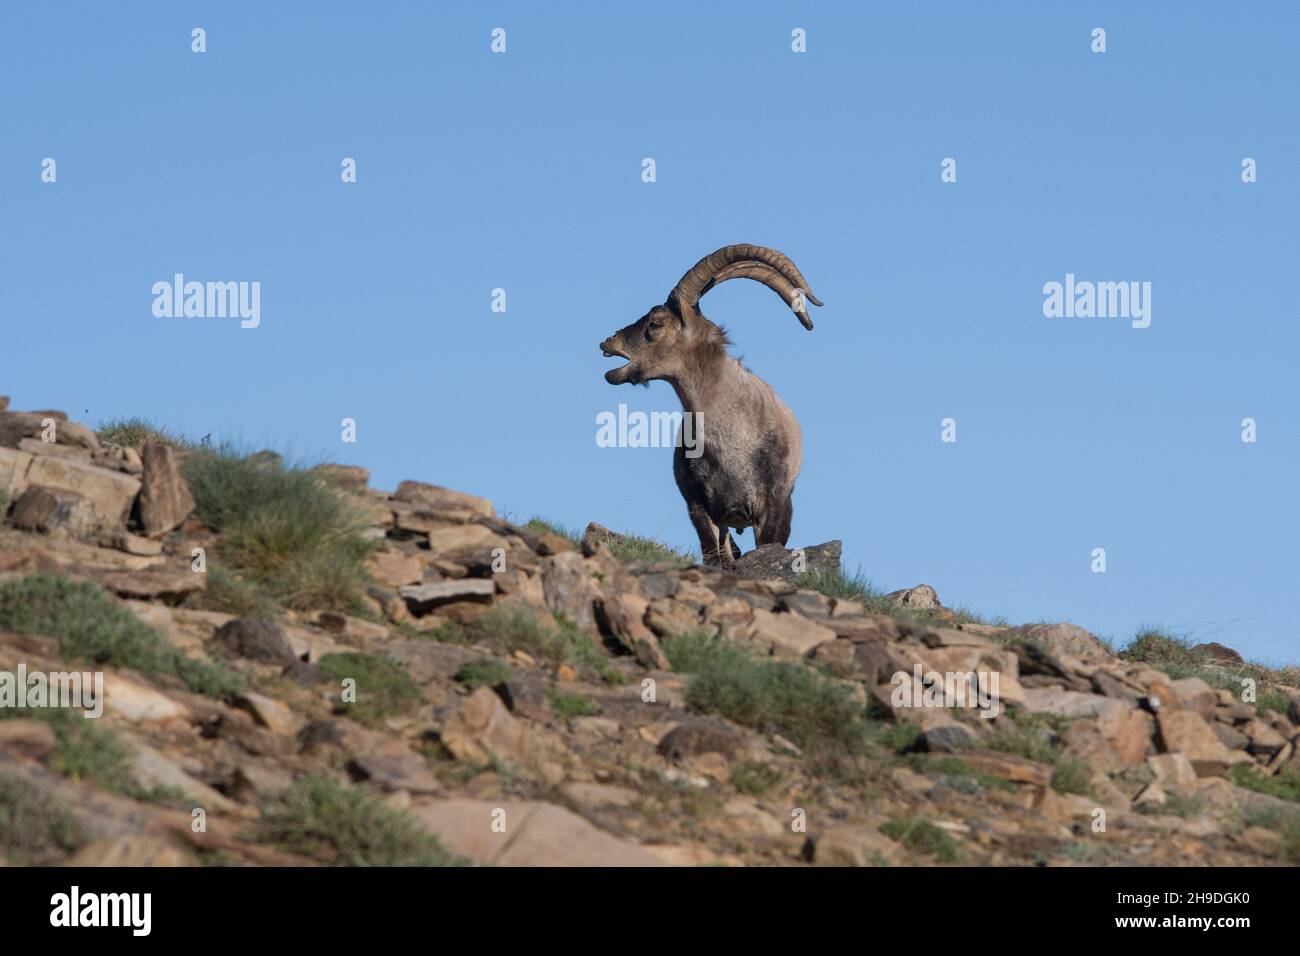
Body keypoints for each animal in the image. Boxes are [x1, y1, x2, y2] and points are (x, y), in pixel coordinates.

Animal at [599, 244, 822, 565]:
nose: (608, 343)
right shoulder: (700, 507)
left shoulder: (774, 506)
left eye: (655, 323)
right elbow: (715, 555)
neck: (732, 442)